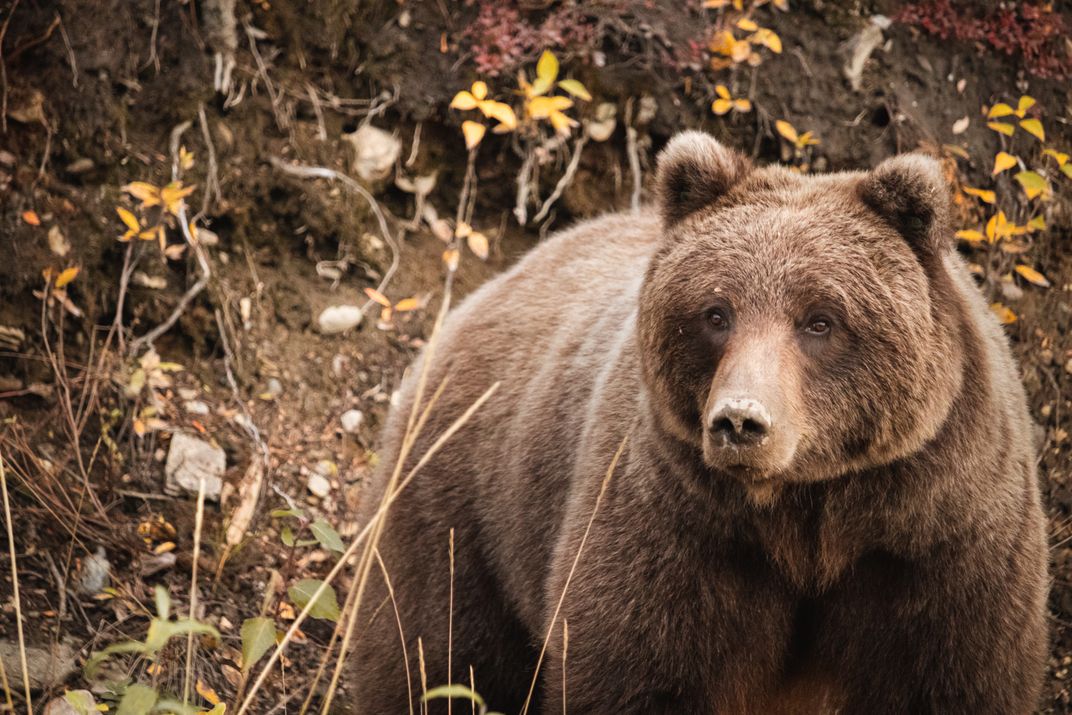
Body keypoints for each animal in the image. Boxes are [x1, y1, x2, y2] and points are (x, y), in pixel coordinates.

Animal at [348, 131, 1049, 714]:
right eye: (716, 313)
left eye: (820, 319)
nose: (740, 422)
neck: (809, 516)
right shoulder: (681, 528)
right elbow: (637, 668)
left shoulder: (937, 539)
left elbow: (958, 674)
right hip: (463, 505)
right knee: (432, 654)